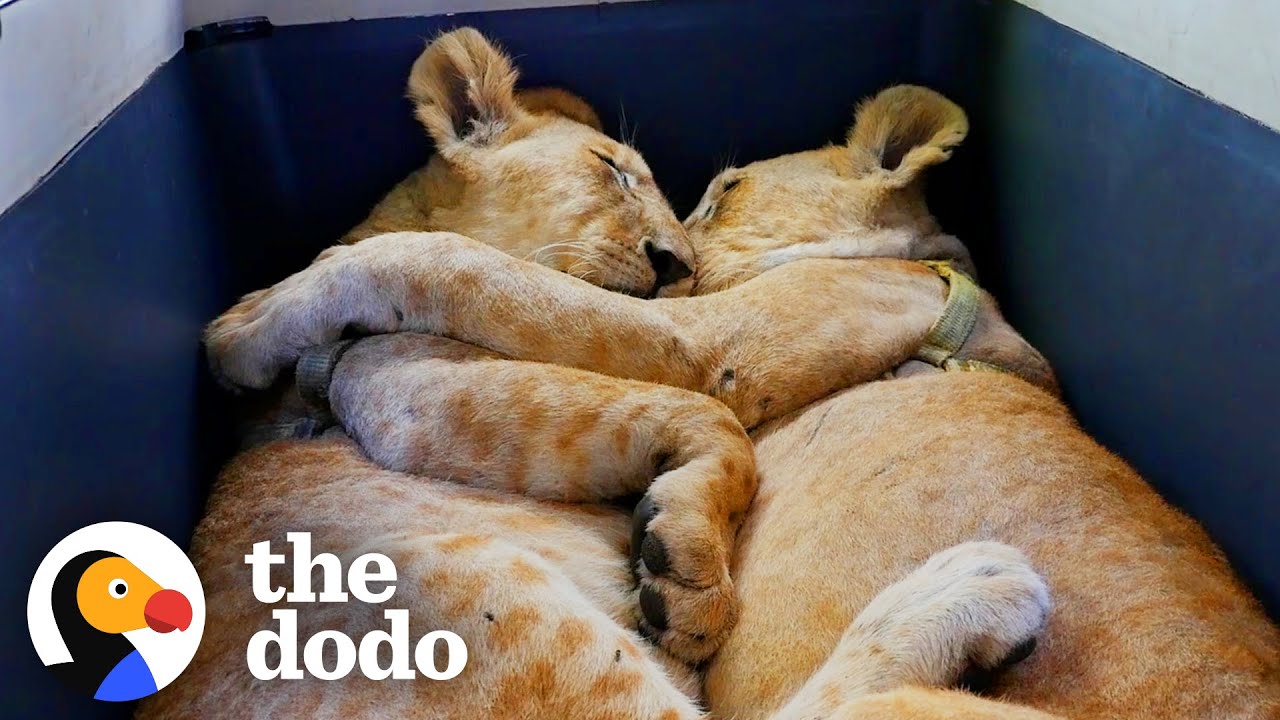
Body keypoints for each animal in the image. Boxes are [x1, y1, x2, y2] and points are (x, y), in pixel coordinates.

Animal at [200, 78, 1280, 718]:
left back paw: (963, 589)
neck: (922, 268)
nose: (673, 255)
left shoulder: (697, 345)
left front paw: (252, 328)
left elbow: (444, 262)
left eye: (720, 192)